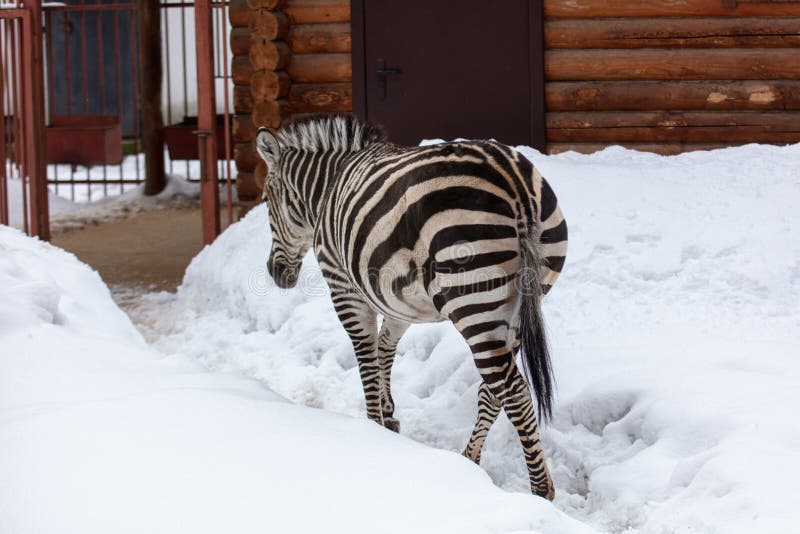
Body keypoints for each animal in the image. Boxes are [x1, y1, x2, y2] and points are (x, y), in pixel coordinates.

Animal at [256, 114, 568, 500]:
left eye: (266, 202)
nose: (276, 274)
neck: (326, 192)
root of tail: (512, 178)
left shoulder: (343, 286)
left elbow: (365, 356)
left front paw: (373, 426)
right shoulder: (396, 299)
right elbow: (385, 348)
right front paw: (388, 415)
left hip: (473, 300)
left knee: (514, 392)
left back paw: (540, 489)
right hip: (519, 303)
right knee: (492, 389)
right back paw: (468, 460)